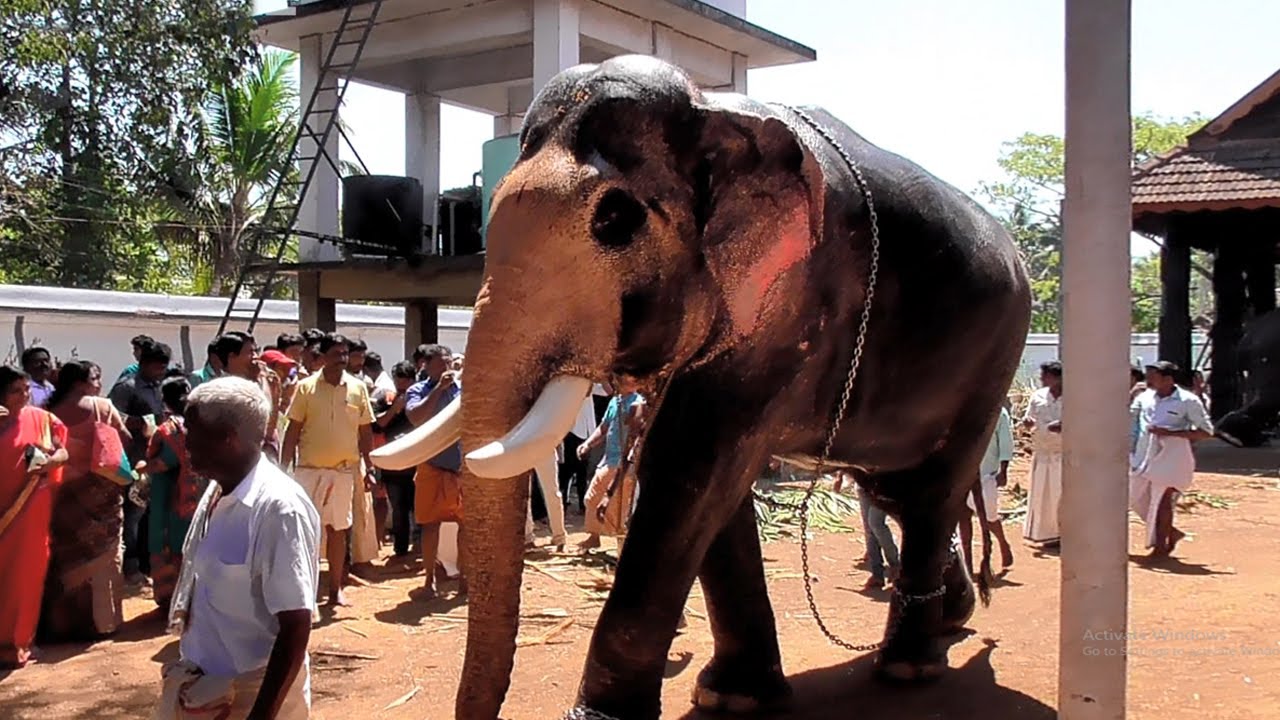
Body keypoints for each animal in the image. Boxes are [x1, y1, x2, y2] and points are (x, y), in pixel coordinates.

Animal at [371, 55, 1032, 720]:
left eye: (615, 219)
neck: (714, 111)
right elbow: (714, 487)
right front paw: (732, 697)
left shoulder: (792, 300)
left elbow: (693, 467)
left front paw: (603, 717)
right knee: (897, 490)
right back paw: (953, 616)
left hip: (996, 357)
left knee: (932, 494)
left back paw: (909, 667)